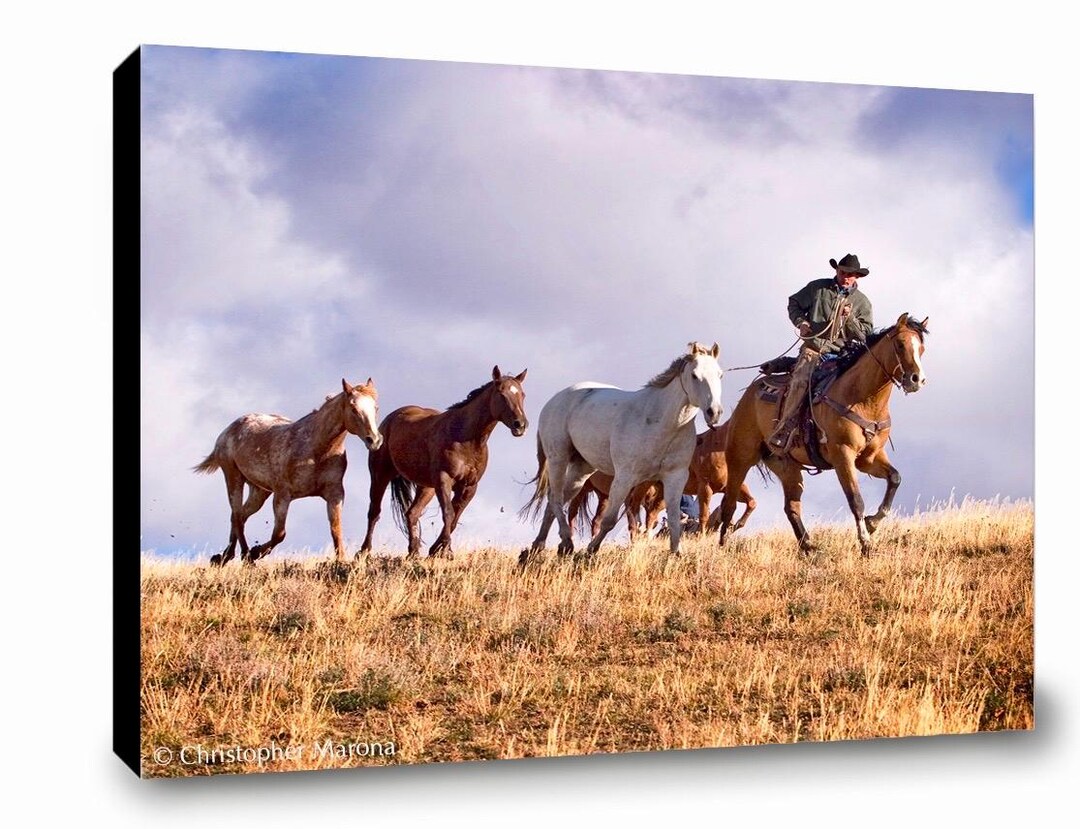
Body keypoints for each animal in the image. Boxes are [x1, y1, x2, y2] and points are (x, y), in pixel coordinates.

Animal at [193, 378, 382, 565]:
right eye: (353, 408)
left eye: (376, 408)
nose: (374, 440)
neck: (317, 450)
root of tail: (228, 430)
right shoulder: (282, 496)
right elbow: (279, 534)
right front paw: (255, 552)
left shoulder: (335, 494)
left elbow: (336, 530)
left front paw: (341, 561)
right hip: (234, 479)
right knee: (237, 516)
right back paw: (245, 556)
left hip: (259, 491)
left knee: (240, 516)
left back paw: (225, 556)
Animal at [359, 366, 528, 559]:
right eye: (501, 393)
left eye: (522, 394)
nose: (520, 425)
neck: (464, 436)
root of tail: (389, 420)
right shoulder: (444, 480)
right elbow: (448, 513)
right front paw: (446, 550)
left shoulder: (469, 487)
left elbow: (455, 518)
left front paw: (436, 550)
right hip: (380, 475)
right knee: (374, 512)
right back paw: (364, 551)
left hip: (426, 487)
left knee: (411, 513)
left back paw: (413, 552)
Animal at [520, 341, 724, 562]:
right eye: (694, 375)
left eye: (720, 375)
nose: (714, 412)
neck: (661, 422)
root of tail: (555, 400)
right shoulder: (625, 477)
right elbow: (610, 519)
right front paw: (591, 549)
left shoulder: (675, 477)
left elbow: (673, 519)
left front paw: (677, 553)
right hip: (558, 458)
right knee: (555, 498)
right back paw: (566, 542)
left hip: (581, 470)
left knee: (553, 503)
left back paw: (538, 546)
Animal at [717, 313, 928, 556]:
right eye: (900, 344)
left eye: (921, 347)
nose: (917, 379)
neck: (862, 398)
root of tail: (749, 393)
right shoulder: (842, 454)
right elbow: (856, 500)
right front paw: (866, 544)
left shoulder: (869, 458)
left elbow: (895, 478)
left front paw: (872, 523)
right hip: (740, 456)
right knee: (729, 502)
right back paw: (723, 545)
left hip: (787, 466)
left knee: (791, 507)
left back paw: (809, 547)